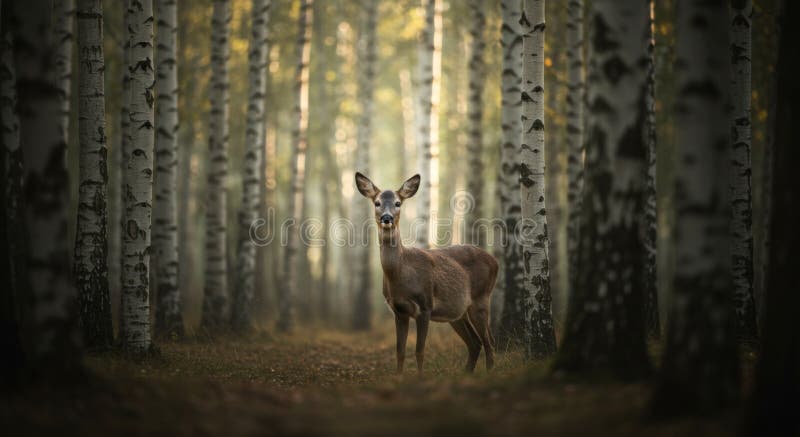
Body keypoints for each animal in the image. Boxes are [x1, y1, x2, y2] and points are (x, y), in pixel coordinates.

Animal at [355, 172, 498, 374]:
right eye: (377, 202)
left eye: (398, 203)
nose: (386, 217)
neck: (401, 274)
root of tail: (495, 261)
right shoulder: (398, 311)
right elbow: (400, 351)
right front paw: (398, 377)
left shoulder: (425, 306)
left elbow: (419, 351)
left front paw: (420, 377)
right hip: (456, 312)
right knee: (475, 343)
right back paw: (467, 374)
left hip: (481, 298)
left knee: (489, 343)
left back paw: (488, 373)